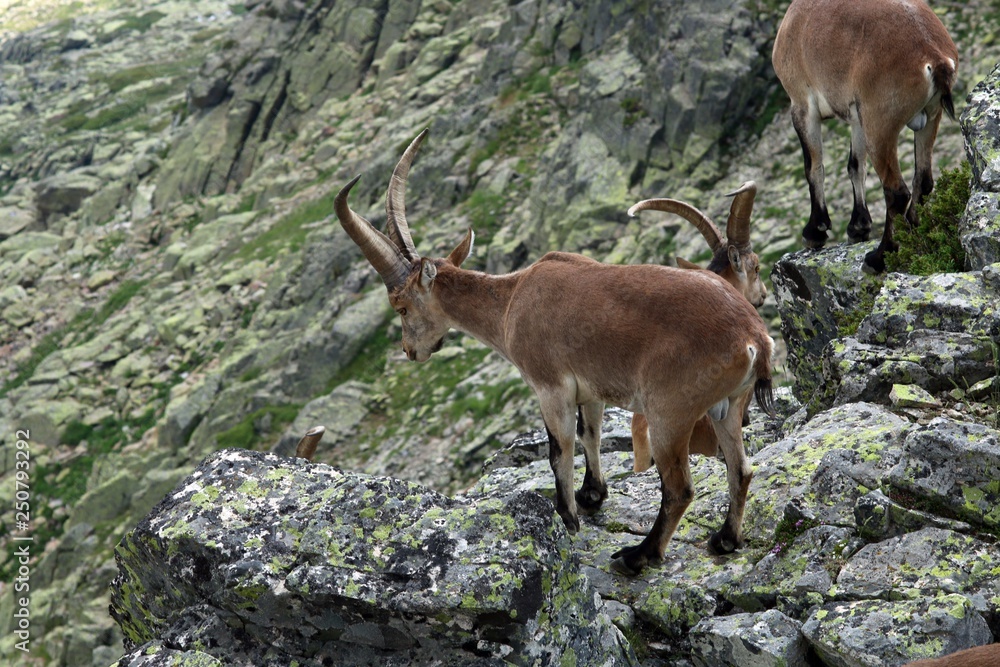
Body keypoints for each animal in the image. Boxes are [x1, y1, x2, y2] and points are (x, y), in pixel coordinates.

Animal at [772, 0, 958, 274]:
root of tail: (935, 58)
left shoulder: (802, 104)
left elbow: (813, 168)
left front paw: (815, 231)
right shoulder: (856, 116)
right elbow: (855, 166)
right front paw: (858, 227)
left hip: (879, 124)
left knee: (897, 191)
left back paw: (879, 257)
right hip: (930, 117)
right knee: (923, 180)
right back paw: (912, 238)